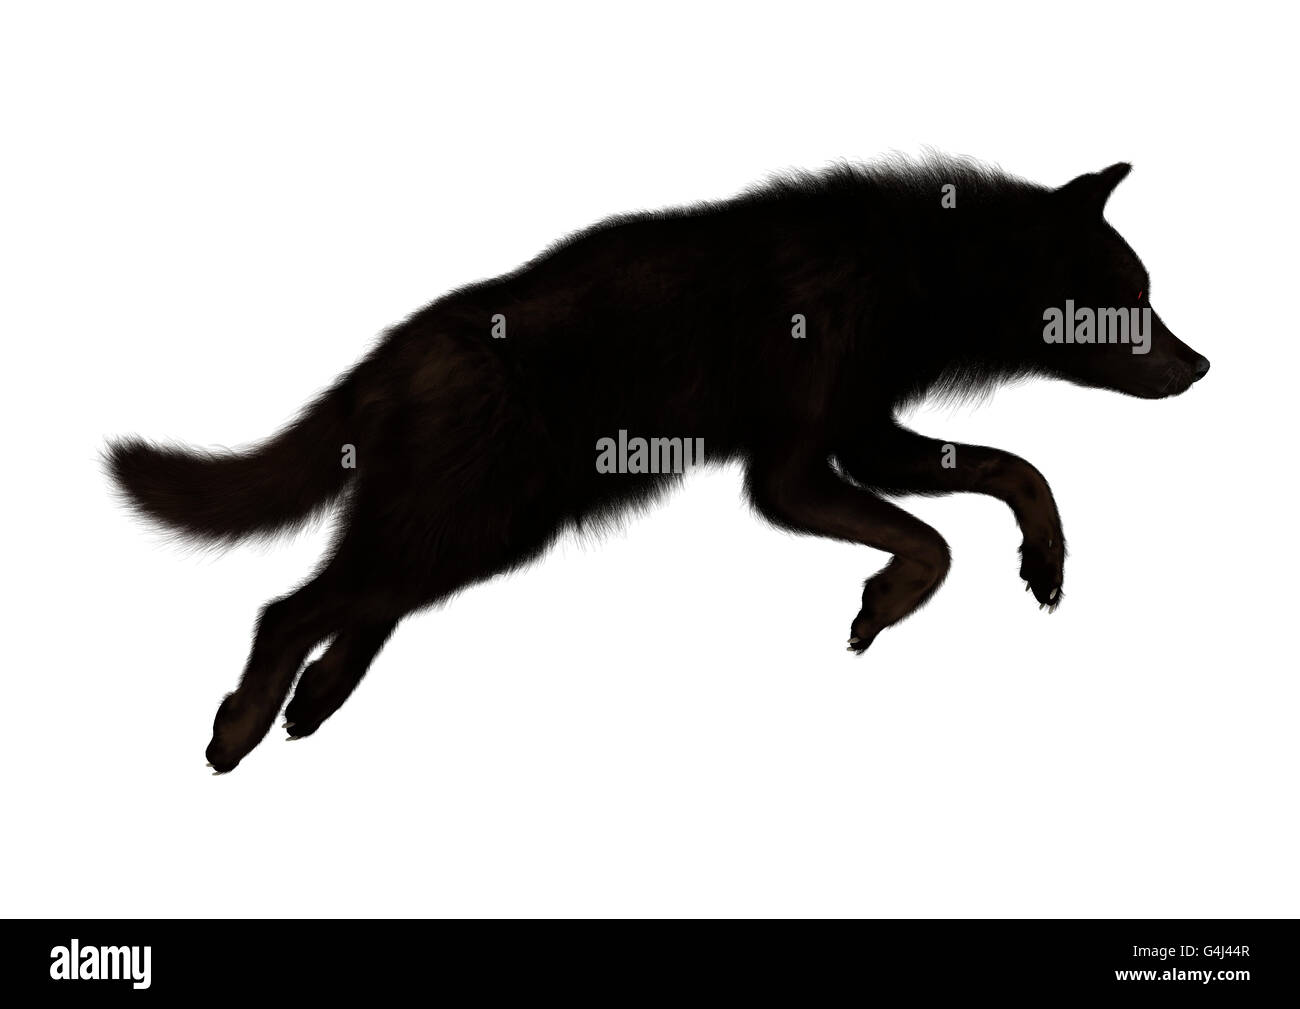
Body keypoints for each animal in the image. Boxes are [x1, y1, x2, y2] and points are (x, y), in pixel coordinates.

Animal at [107, 156, 1211, 772]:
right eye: (1129, 300)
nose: (1202, 366)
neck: (906, 270)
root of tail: (386, 356)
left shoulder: (866, 437)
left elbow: (1017, 472)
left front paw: (1040, 559)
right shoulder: (794, 473)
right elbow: (935, 542)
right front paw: (882, 604)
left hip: (484, 533)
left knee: (361, 606)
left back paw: (315, 701)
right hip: (466, 526)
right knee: (290, 608)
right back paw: (241, 726)